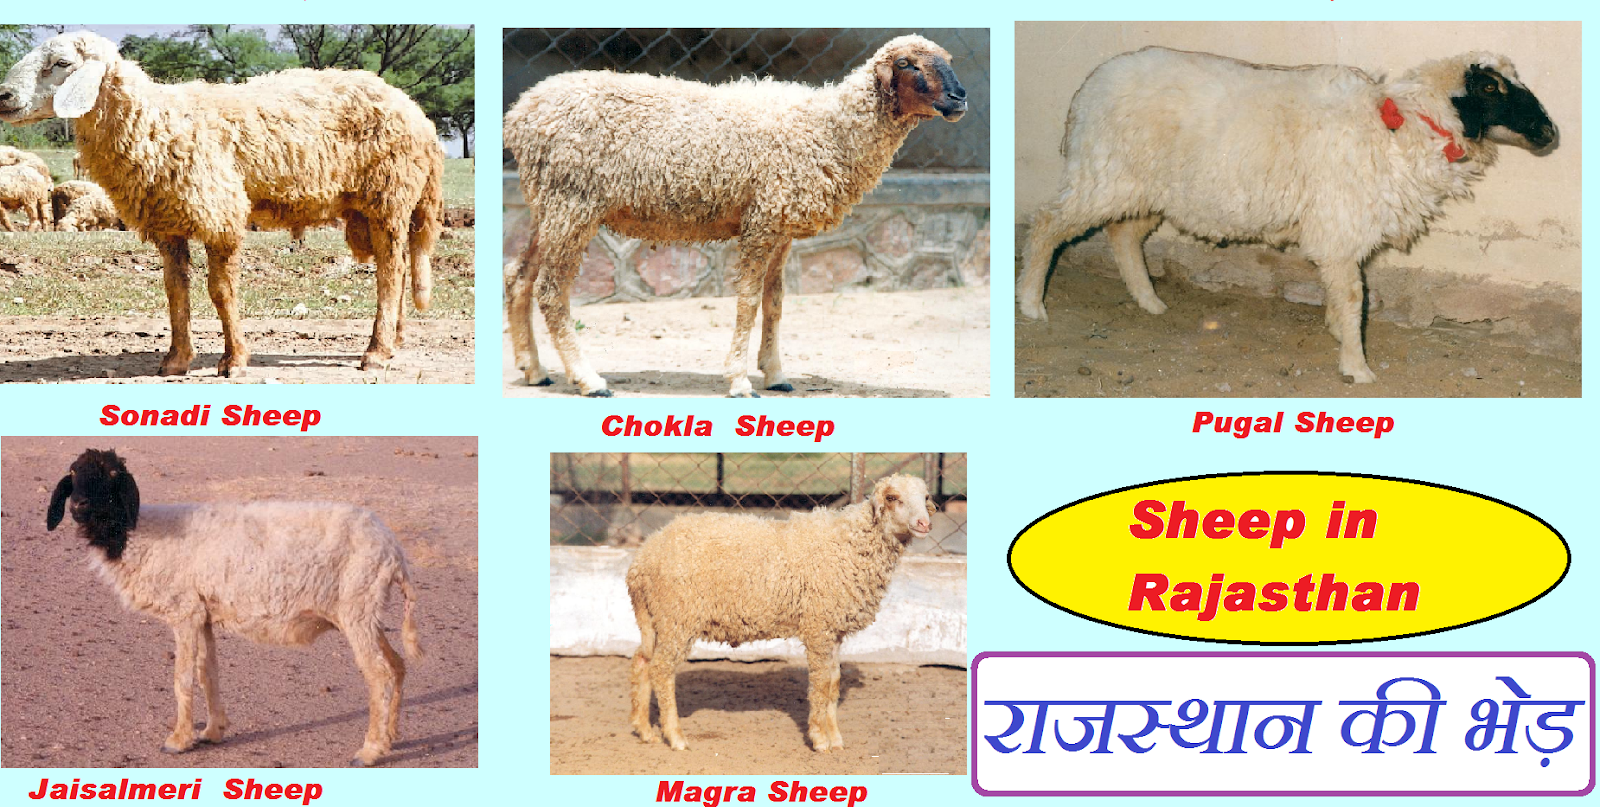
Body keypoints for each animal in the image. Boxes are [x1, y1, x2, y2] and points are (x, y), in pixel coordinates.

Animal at [0, 32, 444, 377]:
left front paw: (234, 360)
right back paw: (395, 339)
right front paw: (176, 359)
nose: (3, 95)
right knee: (399, 265)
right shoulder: (168, 223)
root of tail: (417, 113)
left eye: (61, 63)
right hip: (374, 207)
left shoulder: (221, 216)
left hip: (389, 196)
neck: (158, 123)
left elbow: (221, 291)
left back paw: (377, 352)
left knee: (391, 272)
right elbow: (175, 291)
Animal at [45, 448, 423, 767]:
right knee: (397, 665)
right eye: (73, 472)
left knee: (380, 674)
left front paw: (178, 740)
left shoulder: (184, 612)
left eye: (112, 474)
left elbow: (182, 678)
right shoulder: (202, 612)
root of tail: (394, 550)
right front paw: (212, 732)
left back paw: (370, 750)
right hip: (366, 612)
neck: (132, 536)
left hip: (358, 607)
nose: (78, 504)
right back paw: (390, 737)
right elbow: (206, 671)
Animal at [504, 35, 968, 397]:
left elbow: (775, 301)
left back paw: (534, 369)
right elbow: (747, 300)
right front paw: (740, 381)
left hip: (547, 205)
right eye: (907, 64)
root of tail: (522, 111)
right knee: (550, 290)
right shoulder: (760, 222)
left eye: (947, 59)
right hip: (572, 202)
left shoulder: (780, 226)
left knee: (518, 277)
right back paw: (588, 379)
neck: (828, 128)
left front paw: (776, 373)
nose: (960, 97)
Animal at [626, 474, 934, 751]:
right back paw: (675, 737)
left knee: (642, 661)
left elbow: (833, 683)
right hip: (677, 616)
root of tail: (643, 559)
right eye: (893, 498)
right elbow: (820, 684)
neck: (850, 543)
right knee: (661, 670)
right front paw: (819, 739)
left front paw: (835, 738)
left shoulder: (833, 629)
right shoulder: (817, 625)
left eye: (925, 497)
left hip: (657, 619)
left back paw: (645, 731)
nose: (924, 523)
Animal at [1017, 47, 1557, 383]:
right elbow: (1353, 295)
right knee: (1047, 225)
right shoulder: (1340, 225)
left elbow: (1342, 293)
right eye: (1491, 87)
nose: (1550, 133)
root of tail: (1085, 91)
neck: (1402, 127)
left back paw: (1149, 301)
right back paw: (1032, 304)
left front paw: (1339, 334)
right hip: (1103, 175)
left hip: (1146, 187)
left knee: (1124, 235)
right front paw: (1356, 365)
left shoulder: (1341, 229)